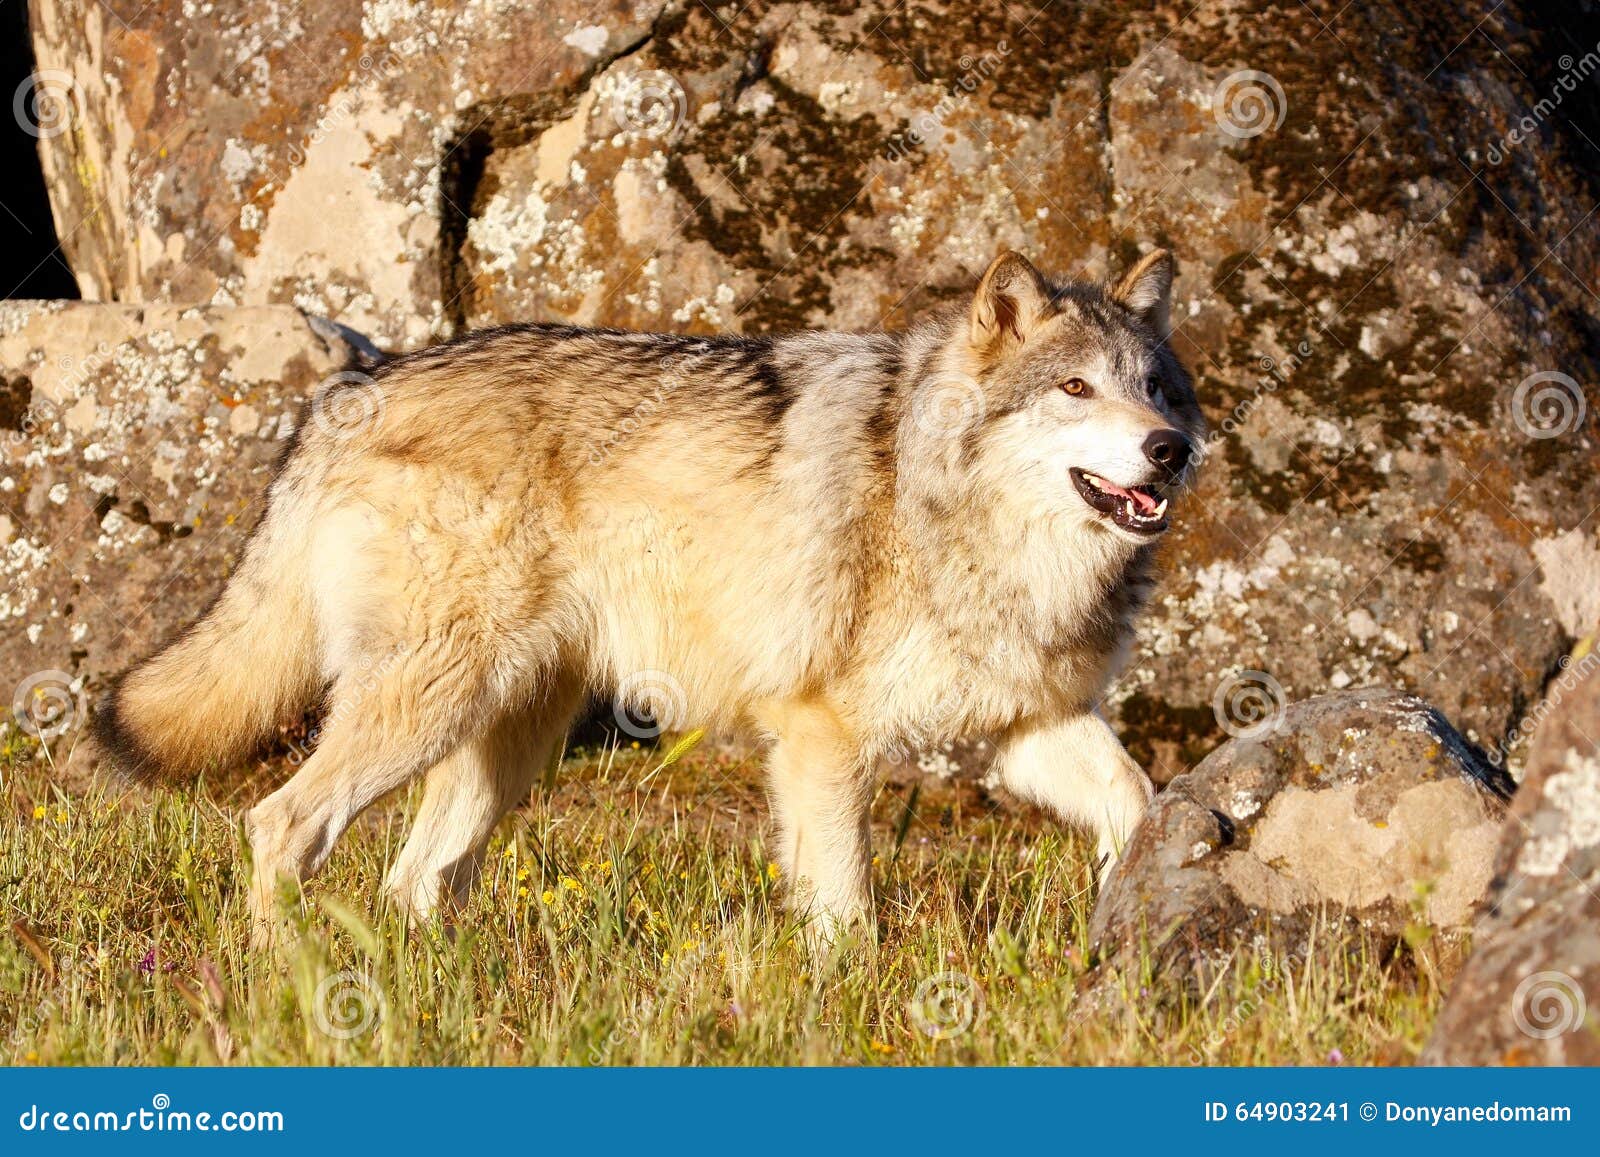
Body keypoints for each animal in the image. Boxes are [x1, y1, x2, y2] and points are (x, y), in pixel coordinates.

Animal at [92, 248, 1205, 942]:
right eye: (1075, 390)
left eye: (1155, 388)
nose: (1170, 449)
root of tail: (349, 388)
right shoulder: (821, 736)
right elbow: (847, 907)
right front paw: (848, 995)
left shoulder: (1030, 723)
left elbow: (1137, 803)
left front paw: (1125, 928)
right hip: (426, 709)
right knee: (281, 823)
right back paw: (291, 978)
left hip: (506, 742)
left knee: (412, 880)